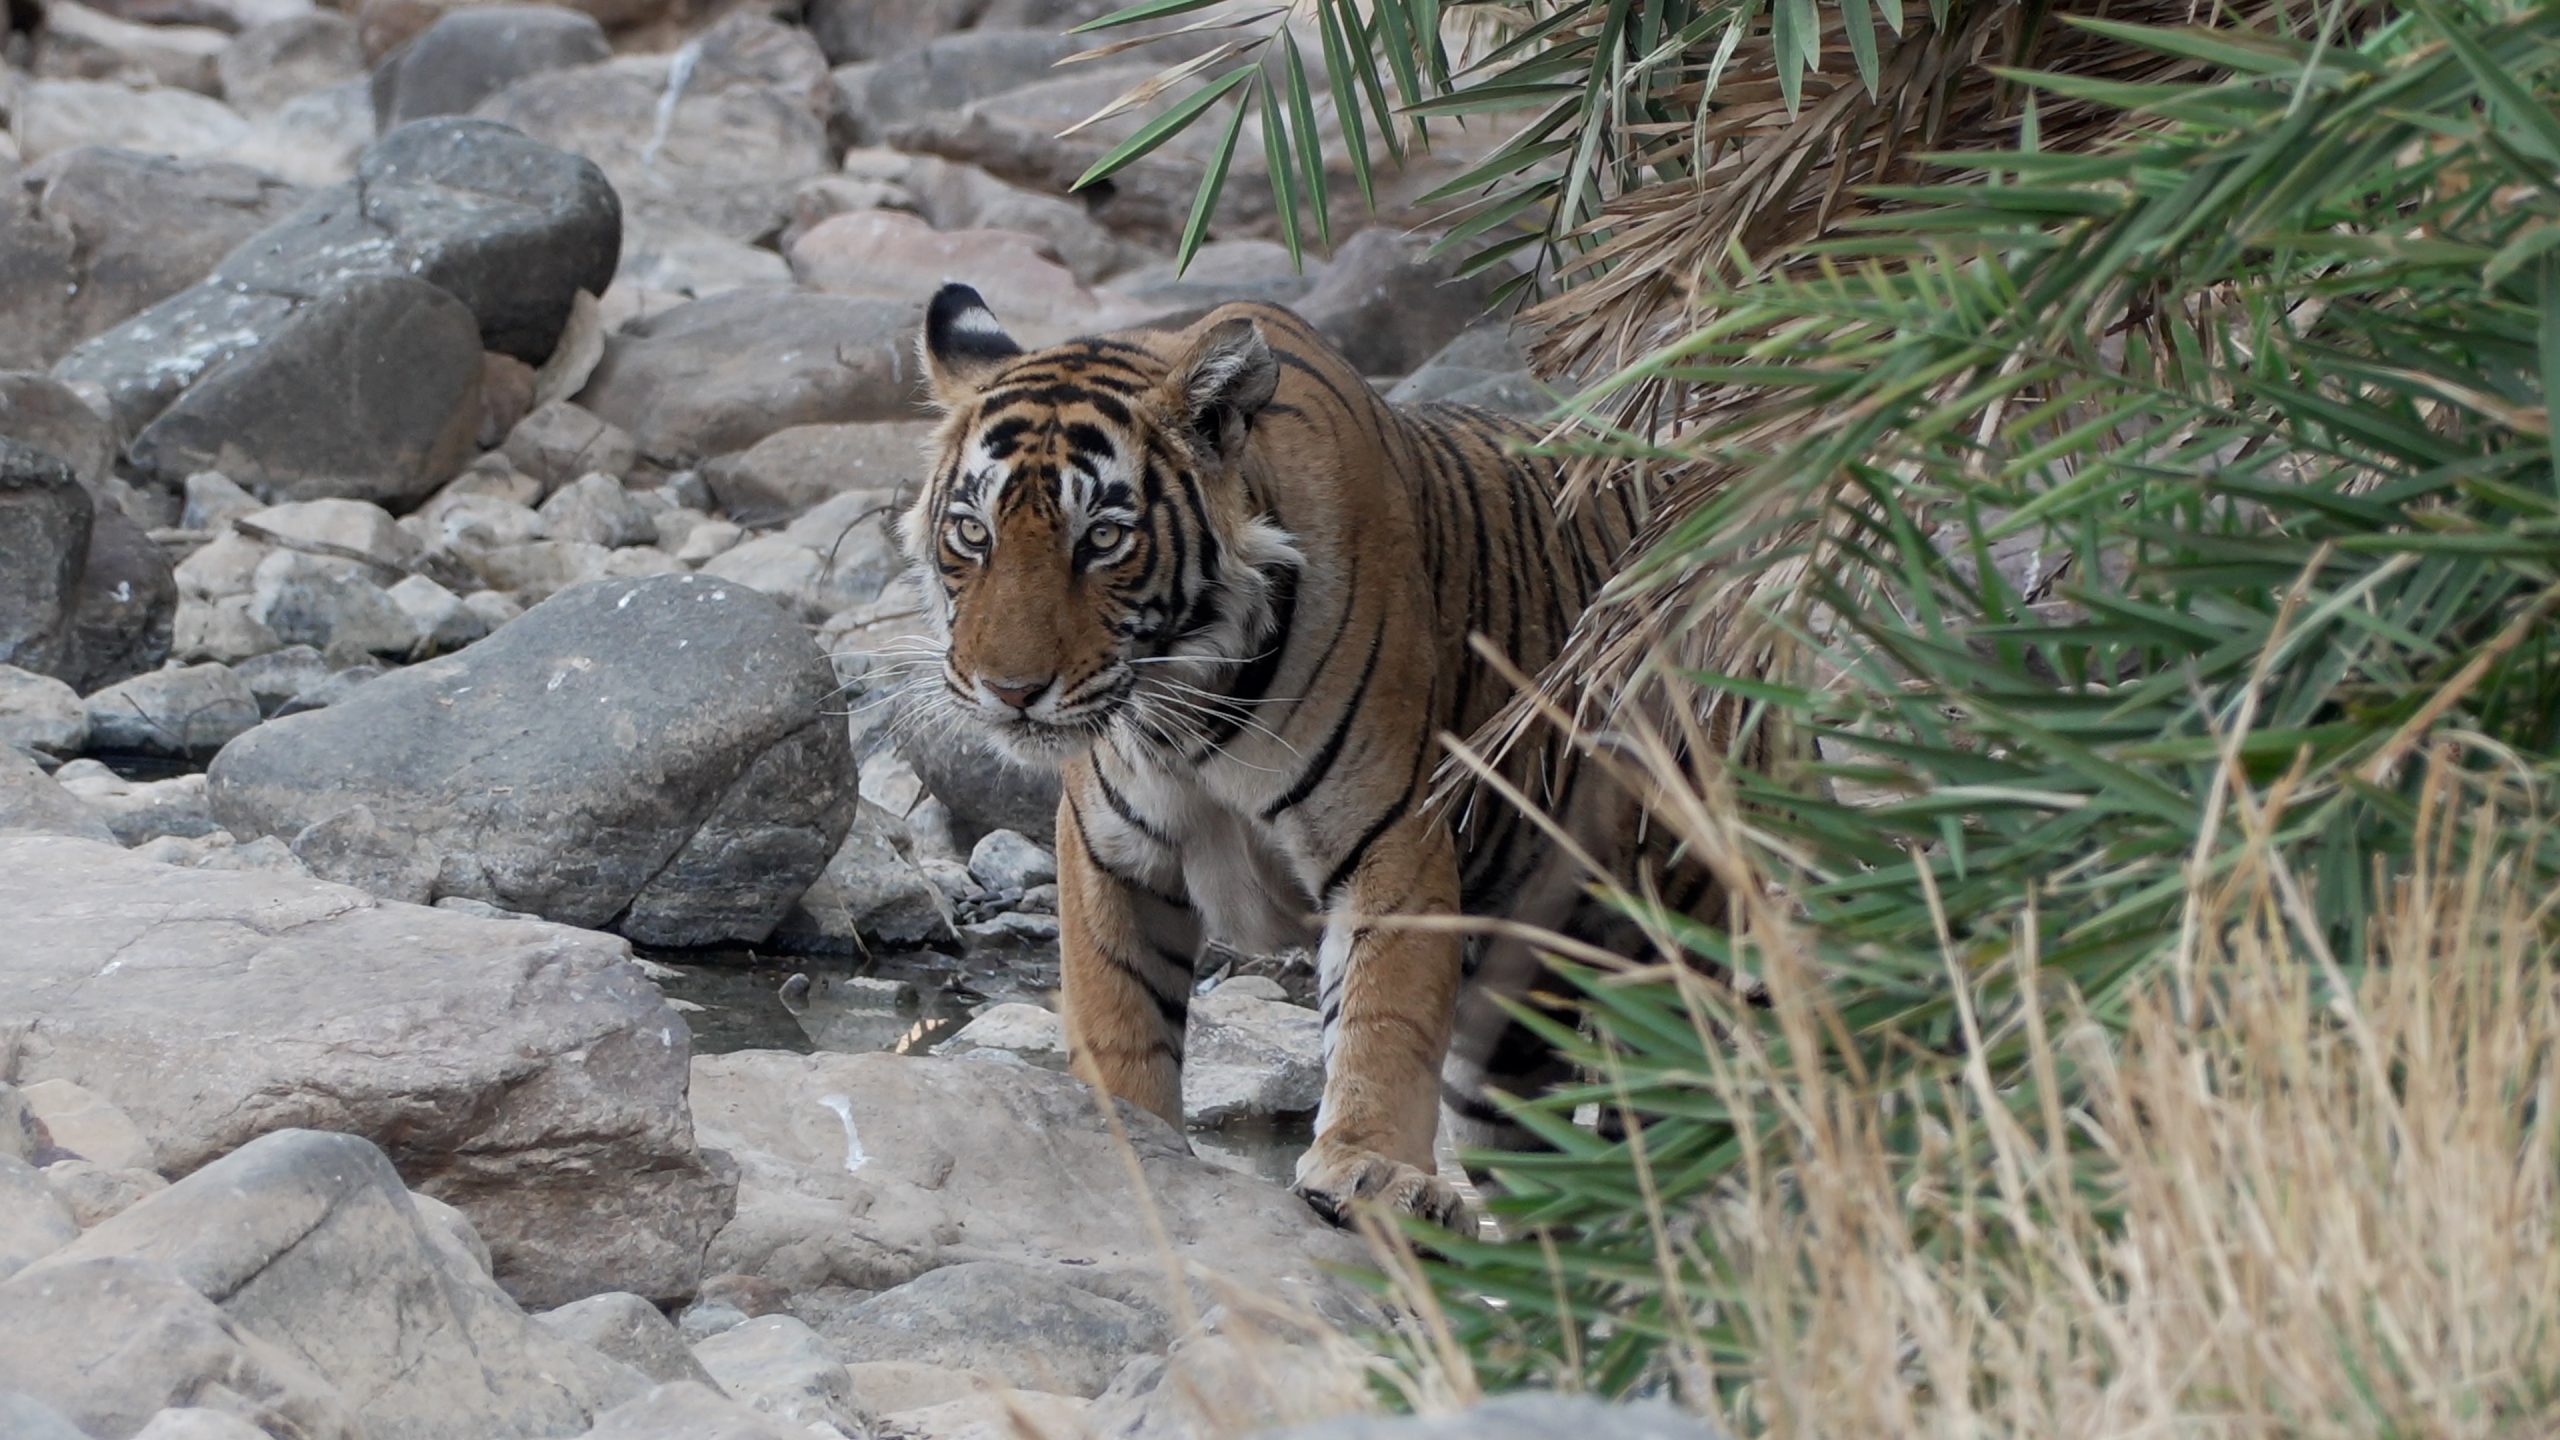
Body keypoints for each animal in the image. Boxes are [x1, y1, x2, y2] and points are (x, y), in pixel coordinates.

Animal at [897, 282, 1739, 1227]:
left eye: (1103, 540)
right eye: (973, 533)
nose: (1008, 691)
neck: (1186, 715)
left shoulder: (1392, 835)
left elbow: (1383, 1013)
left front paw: (1372, 1168)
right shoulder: (1112, 855)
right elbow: (1120, 1012)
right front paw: (1129, 1139)